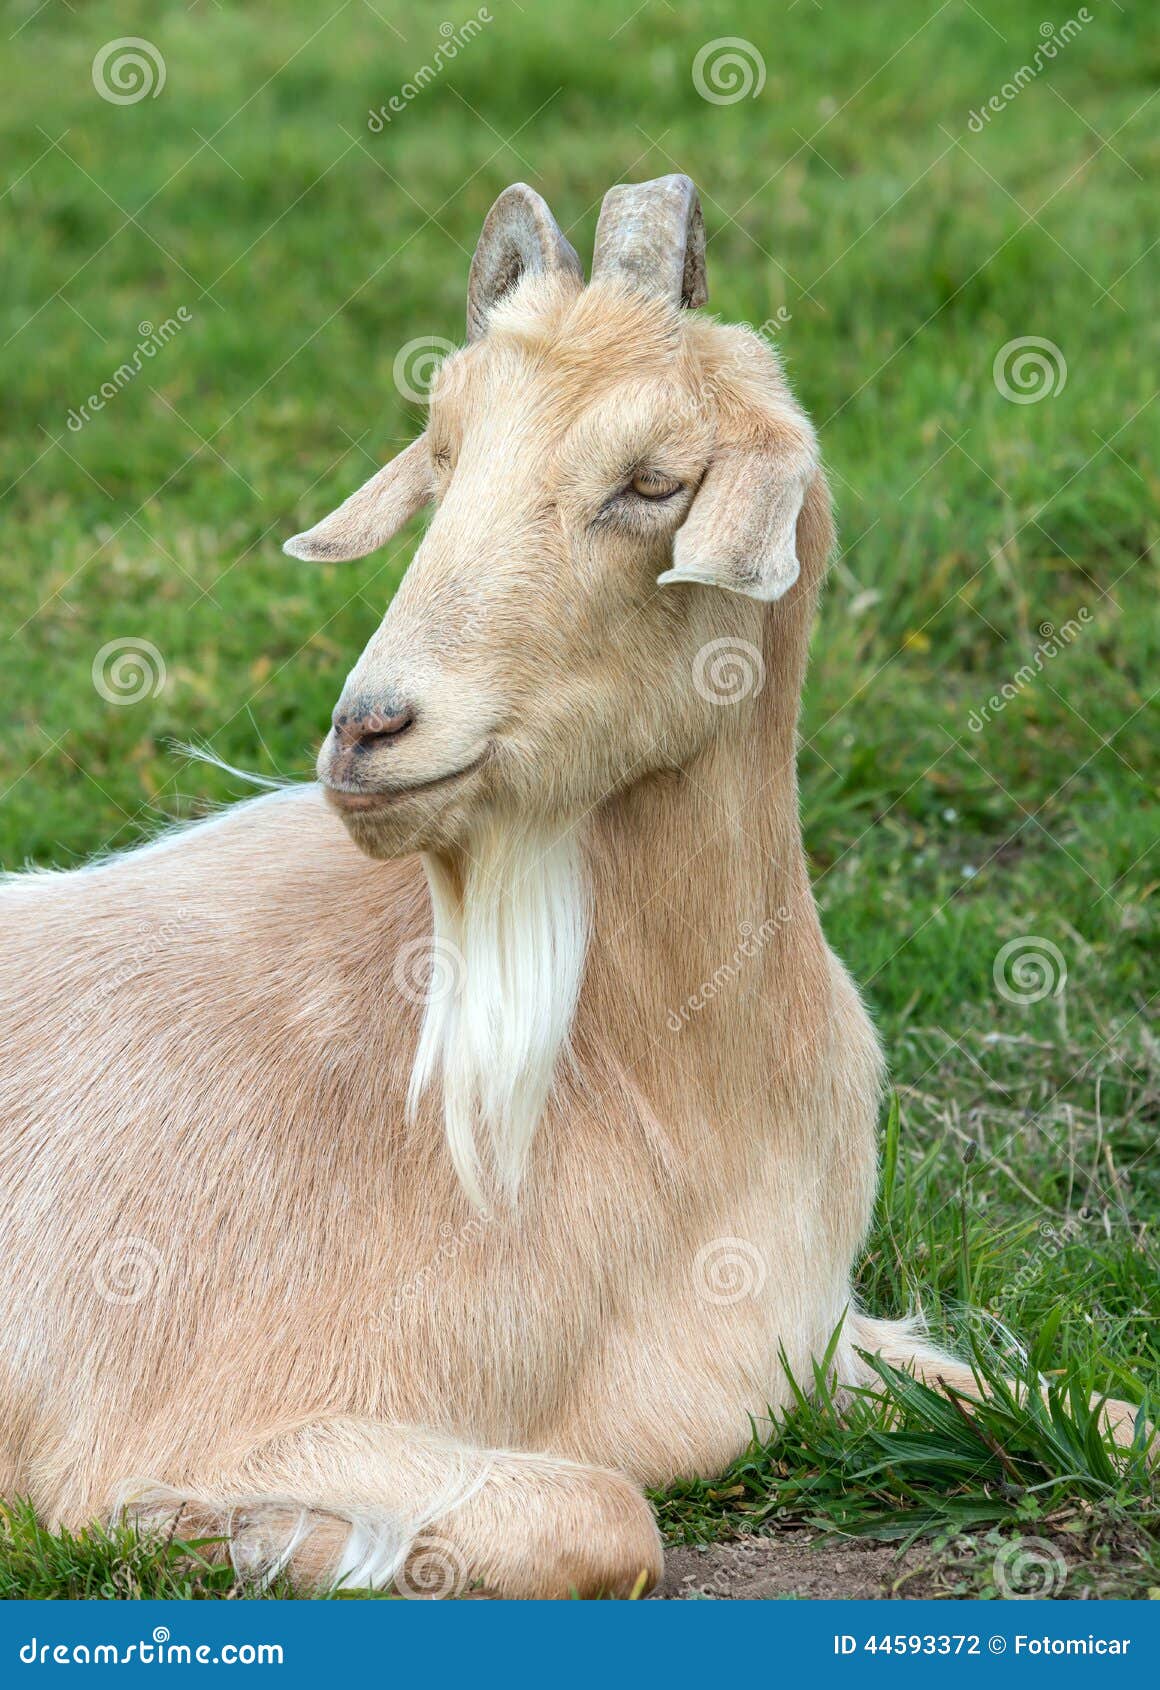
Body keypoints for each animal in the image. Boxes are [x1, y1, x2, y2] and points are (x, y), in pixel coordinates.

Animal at [0, 175, 1142, 1599]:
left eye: (654, 482)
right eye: (443, 456)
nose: (371, 729)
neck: (674, 1091)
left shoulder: (804, 1336)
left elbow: (1117, 1419)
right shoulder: (194, 1400)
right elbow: (602, 1518)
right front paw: (232, 1529)